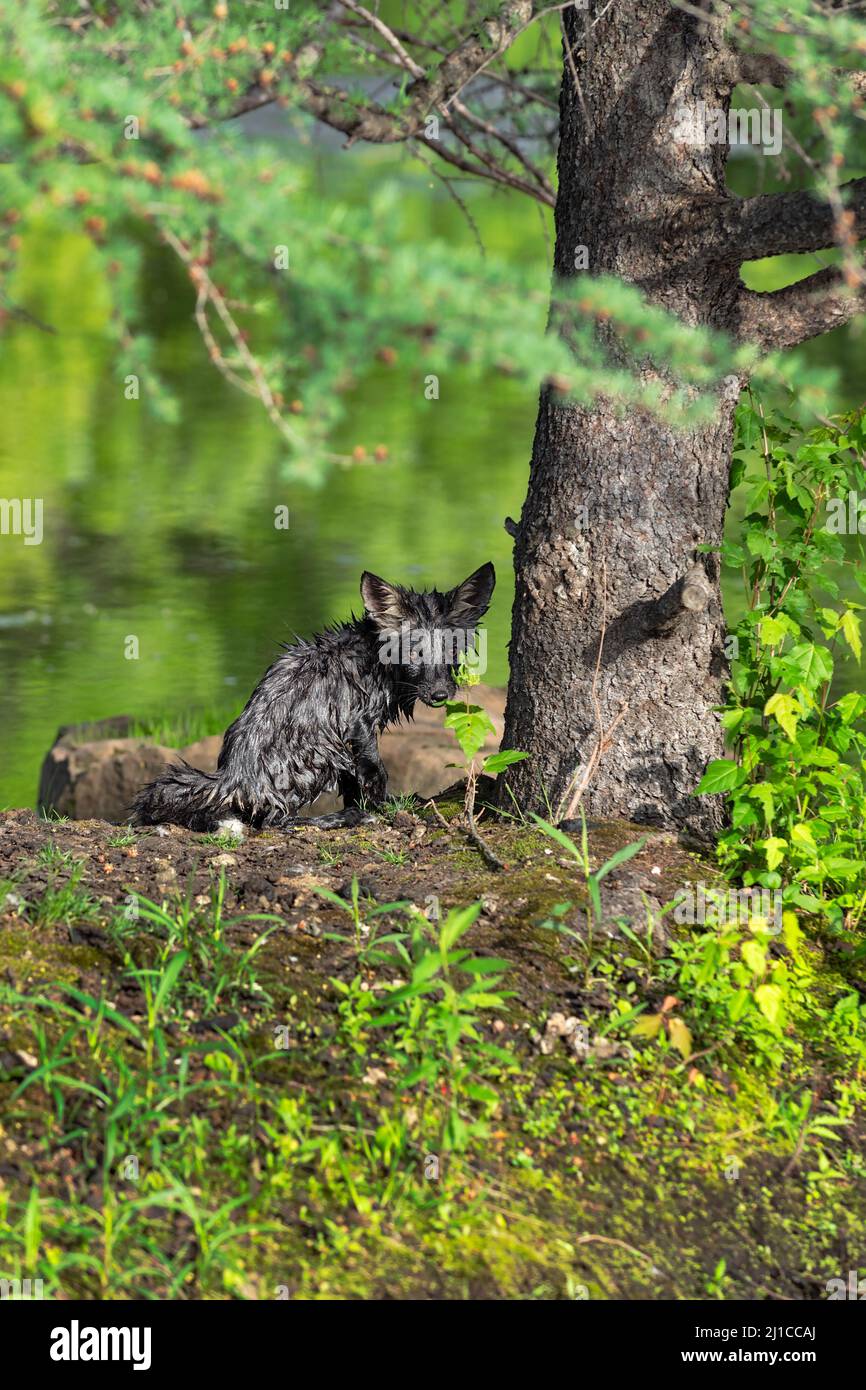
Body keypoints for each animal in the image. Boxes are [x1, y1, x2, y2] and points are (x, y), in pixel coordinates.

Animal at [131, 562, 496, 833]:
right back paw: (331, 819)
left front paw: (365, 807)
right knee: (273, 821)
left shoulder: (348, 736)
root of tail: (231, 779)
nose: (440, 694)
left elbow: (355, 784)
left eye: (452, 652)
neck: (375, 657)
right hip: (321, 754)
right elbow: (376, 773)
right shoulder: (358, 725)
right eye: (414, 653)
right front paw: (382, 807)